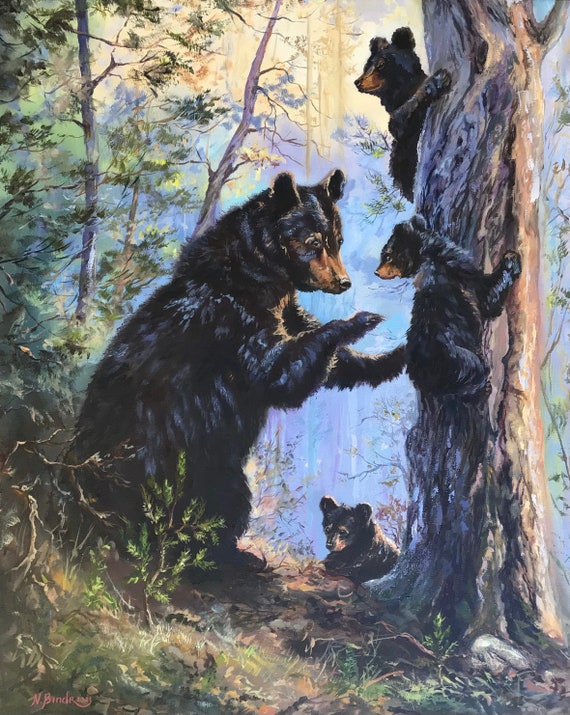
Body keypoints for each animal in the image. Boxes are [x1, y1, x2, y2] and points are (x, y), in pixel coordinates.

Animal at [68, 169, 406, 569]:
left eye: (337, 240)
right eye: (312, 241)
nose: (343, 282)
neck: (256, 278)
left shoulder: (285, 313)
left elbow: (328, 357)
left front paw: (392, 357)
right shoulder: (232, 324)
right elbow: (280, 373)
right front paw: (359, 320)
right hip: (186, 463)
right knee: (214, 506)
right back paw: (226, 556)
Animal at [354, 27, 451, 201]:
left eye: (381, 64)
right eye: (366, 66)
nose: (357, 82)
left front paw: (438, 79)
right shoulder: (400, 125)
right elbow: (399, 123)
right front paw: (436, 82)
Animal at [375, 215, 522, 397]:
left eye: (387, 256)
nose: (376, 272)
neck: (429, 256)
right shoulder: (462, 276)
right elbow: (488, 297)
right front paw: (511, 258)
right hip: (463, 360)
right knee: (476, 372)